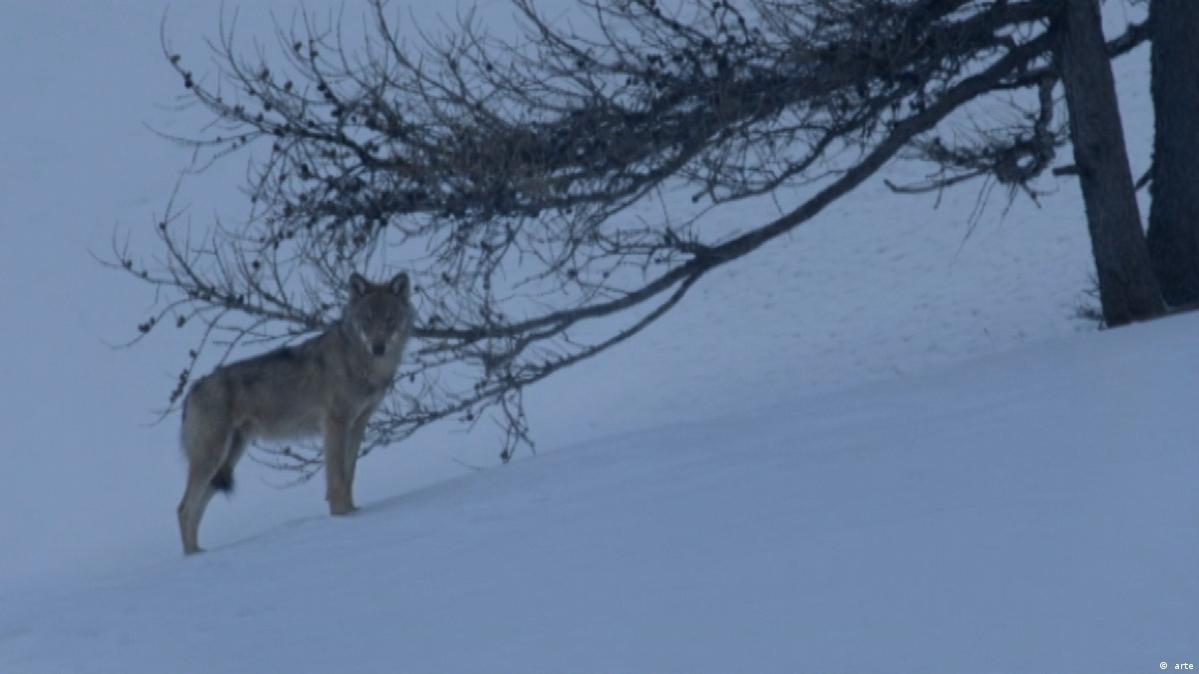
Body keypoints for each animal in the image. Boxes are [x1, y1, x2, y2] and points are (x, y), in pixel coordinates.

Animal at [176, 272, 413, 555]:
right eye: (367, 320)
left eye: (389, 319)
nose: (378, 347)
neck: (364, 365)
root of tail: (192, 391)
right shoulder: (335, 424)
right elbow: (336, 479)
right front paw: (341, 517)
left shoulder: (358, 425)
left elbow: (349, 476)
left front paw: (353, 512)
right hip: (211, 459)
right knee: (184, 509)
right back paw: (193, 556)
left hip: (227, 461)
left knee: (195, 510)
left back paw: (199, 553)